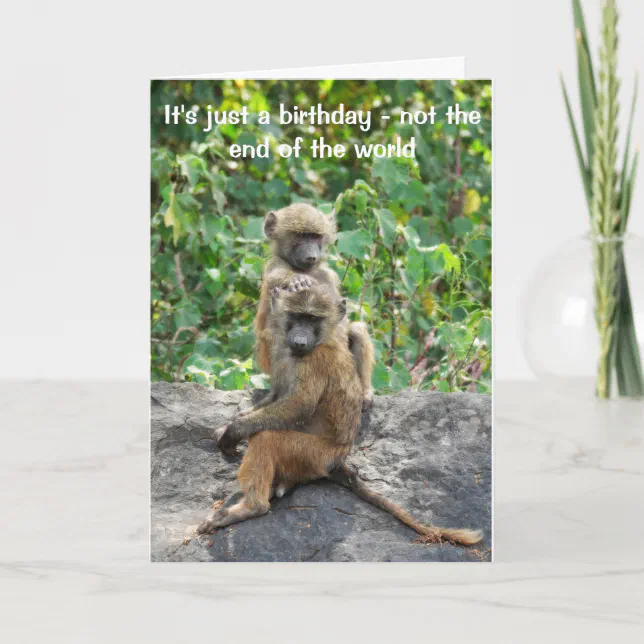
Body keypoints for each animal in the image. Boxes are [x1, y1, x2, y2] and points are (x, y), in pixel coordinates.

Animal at [197, 284, 482, 547]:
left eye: (313, 319)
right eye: (297, 316)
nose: (300, 340)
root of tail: (339, 458)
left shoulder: (314, 362)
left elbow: (297, 405)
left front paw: (234, 431)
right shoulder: (280, 351)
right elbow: (277, 395)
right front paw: (226, 426)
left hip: (314, 455)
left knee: (267, 439)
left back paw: (252, 506)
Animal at [254, 203, 374, 410]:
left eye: (315, 236)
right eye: (301, 236)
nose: (311, 256)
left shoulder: (328, 274)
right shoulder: (274, 267)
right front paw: (298, 281)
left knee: (357, 329)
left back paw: (364, 392)